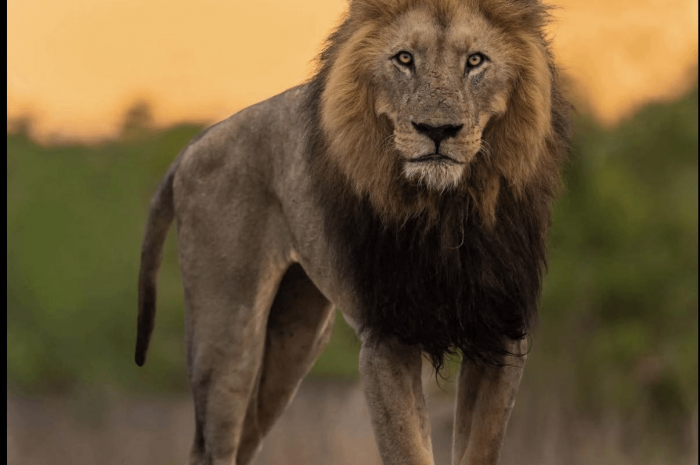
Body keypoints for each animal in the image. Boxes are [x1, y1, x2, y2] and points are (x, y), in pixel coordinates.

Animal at [135, 0, 571, 464]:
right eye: (404, 59)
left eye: (475, 61)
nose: (436, 130)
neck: (445, 211)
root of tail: (199, 141)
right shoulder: (387, 339)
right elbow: (406, 449)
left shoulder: (502, 335)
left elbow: (478, 450)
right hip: (228, 337)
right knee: (212, 445)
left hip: (295, 339)